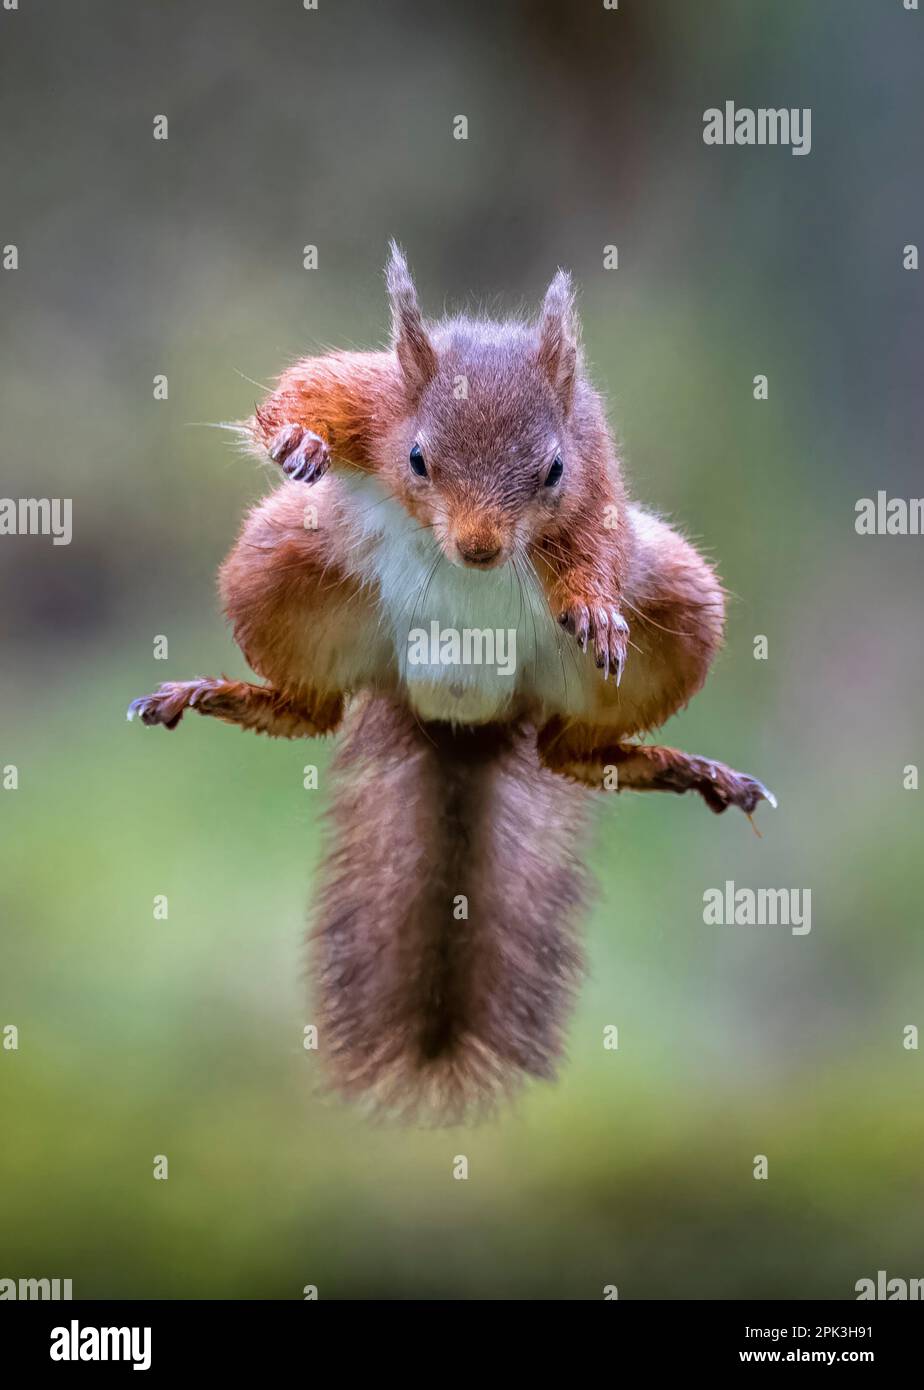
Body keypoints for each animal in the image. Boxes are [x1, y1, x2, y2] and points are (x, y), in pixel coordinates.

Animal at [130, 244, 774, 1122]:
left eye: (553, 470)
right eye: (417, 459)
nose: (478, 549)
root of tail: (457, 719)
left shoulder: (597, 477)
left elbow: (597, 547)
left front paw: (597, 610)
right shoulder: (367, 396)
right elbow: (303, 390)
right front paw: (296, 438)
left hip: (681, 602)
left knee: (568, 751)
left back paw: (674, 766)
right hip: (277, 564)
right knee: (311, 712)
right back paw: (225, 694)